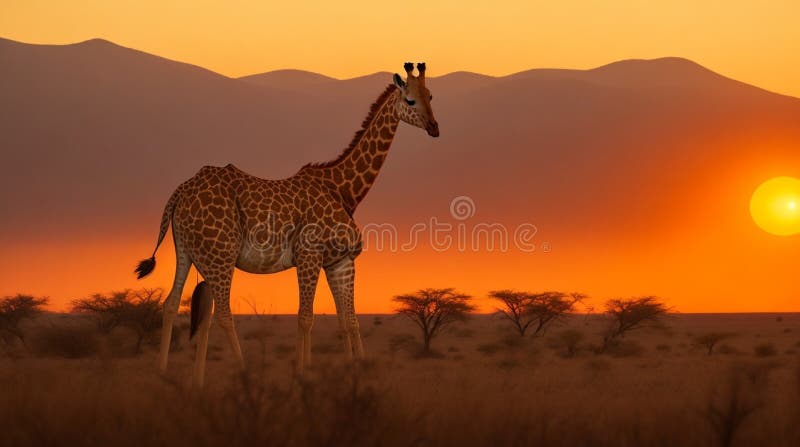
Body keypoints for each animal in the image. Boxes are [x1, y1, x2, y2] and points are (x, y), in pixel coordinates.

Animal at [135, 62, 438, 386]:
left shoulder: (341, 261)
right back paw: (244, 375)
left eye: (431, 95)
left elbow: (349, 321)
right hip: (221, 256)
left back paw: (175, 378)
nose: (434, 128)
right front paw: (302, 376)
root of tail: (180, 192)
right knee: (223, 314)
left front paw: (356, 374)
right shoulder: (309, 255)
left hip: (188, 253)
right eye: (410, 100)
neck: (346, 192)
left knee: (173, 305)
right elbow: (306, 318)